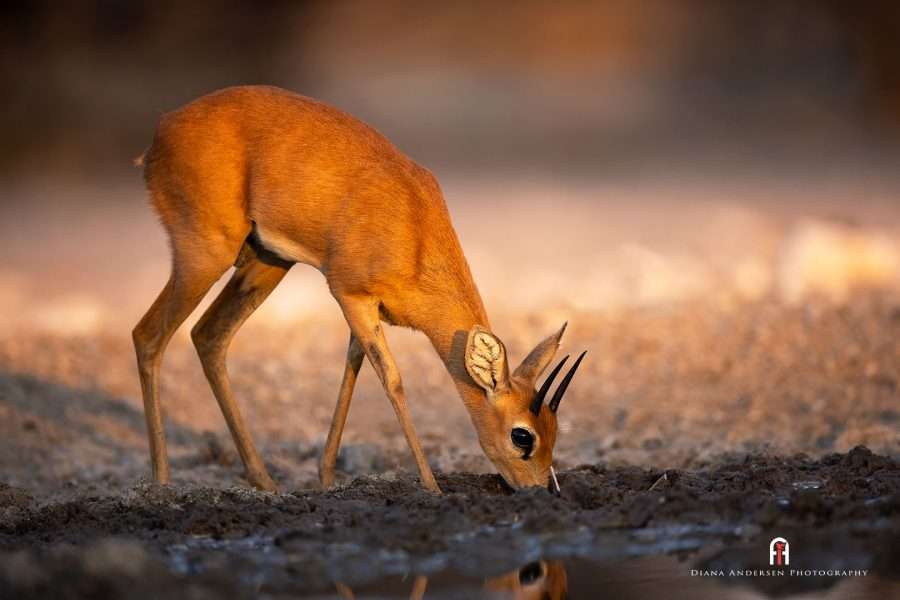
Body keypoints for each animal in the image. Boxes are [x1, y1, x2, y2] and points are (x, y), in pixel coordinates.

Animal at [133, 86, 586, 494]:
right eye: (522, 435)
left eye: (555, 429)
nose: (539, 489)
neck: (414, 230)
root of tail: (163, 129)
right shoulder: (349, 294)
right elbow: (392, 379)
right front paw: (432, 487)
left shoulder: (369, 309)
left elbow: (353, 366)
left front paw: (326, 479)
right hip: (205, 256)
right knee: (148, 335)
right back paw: (161, 483)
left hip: (266, 264)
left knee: (208, 336)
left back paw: (265, 482)